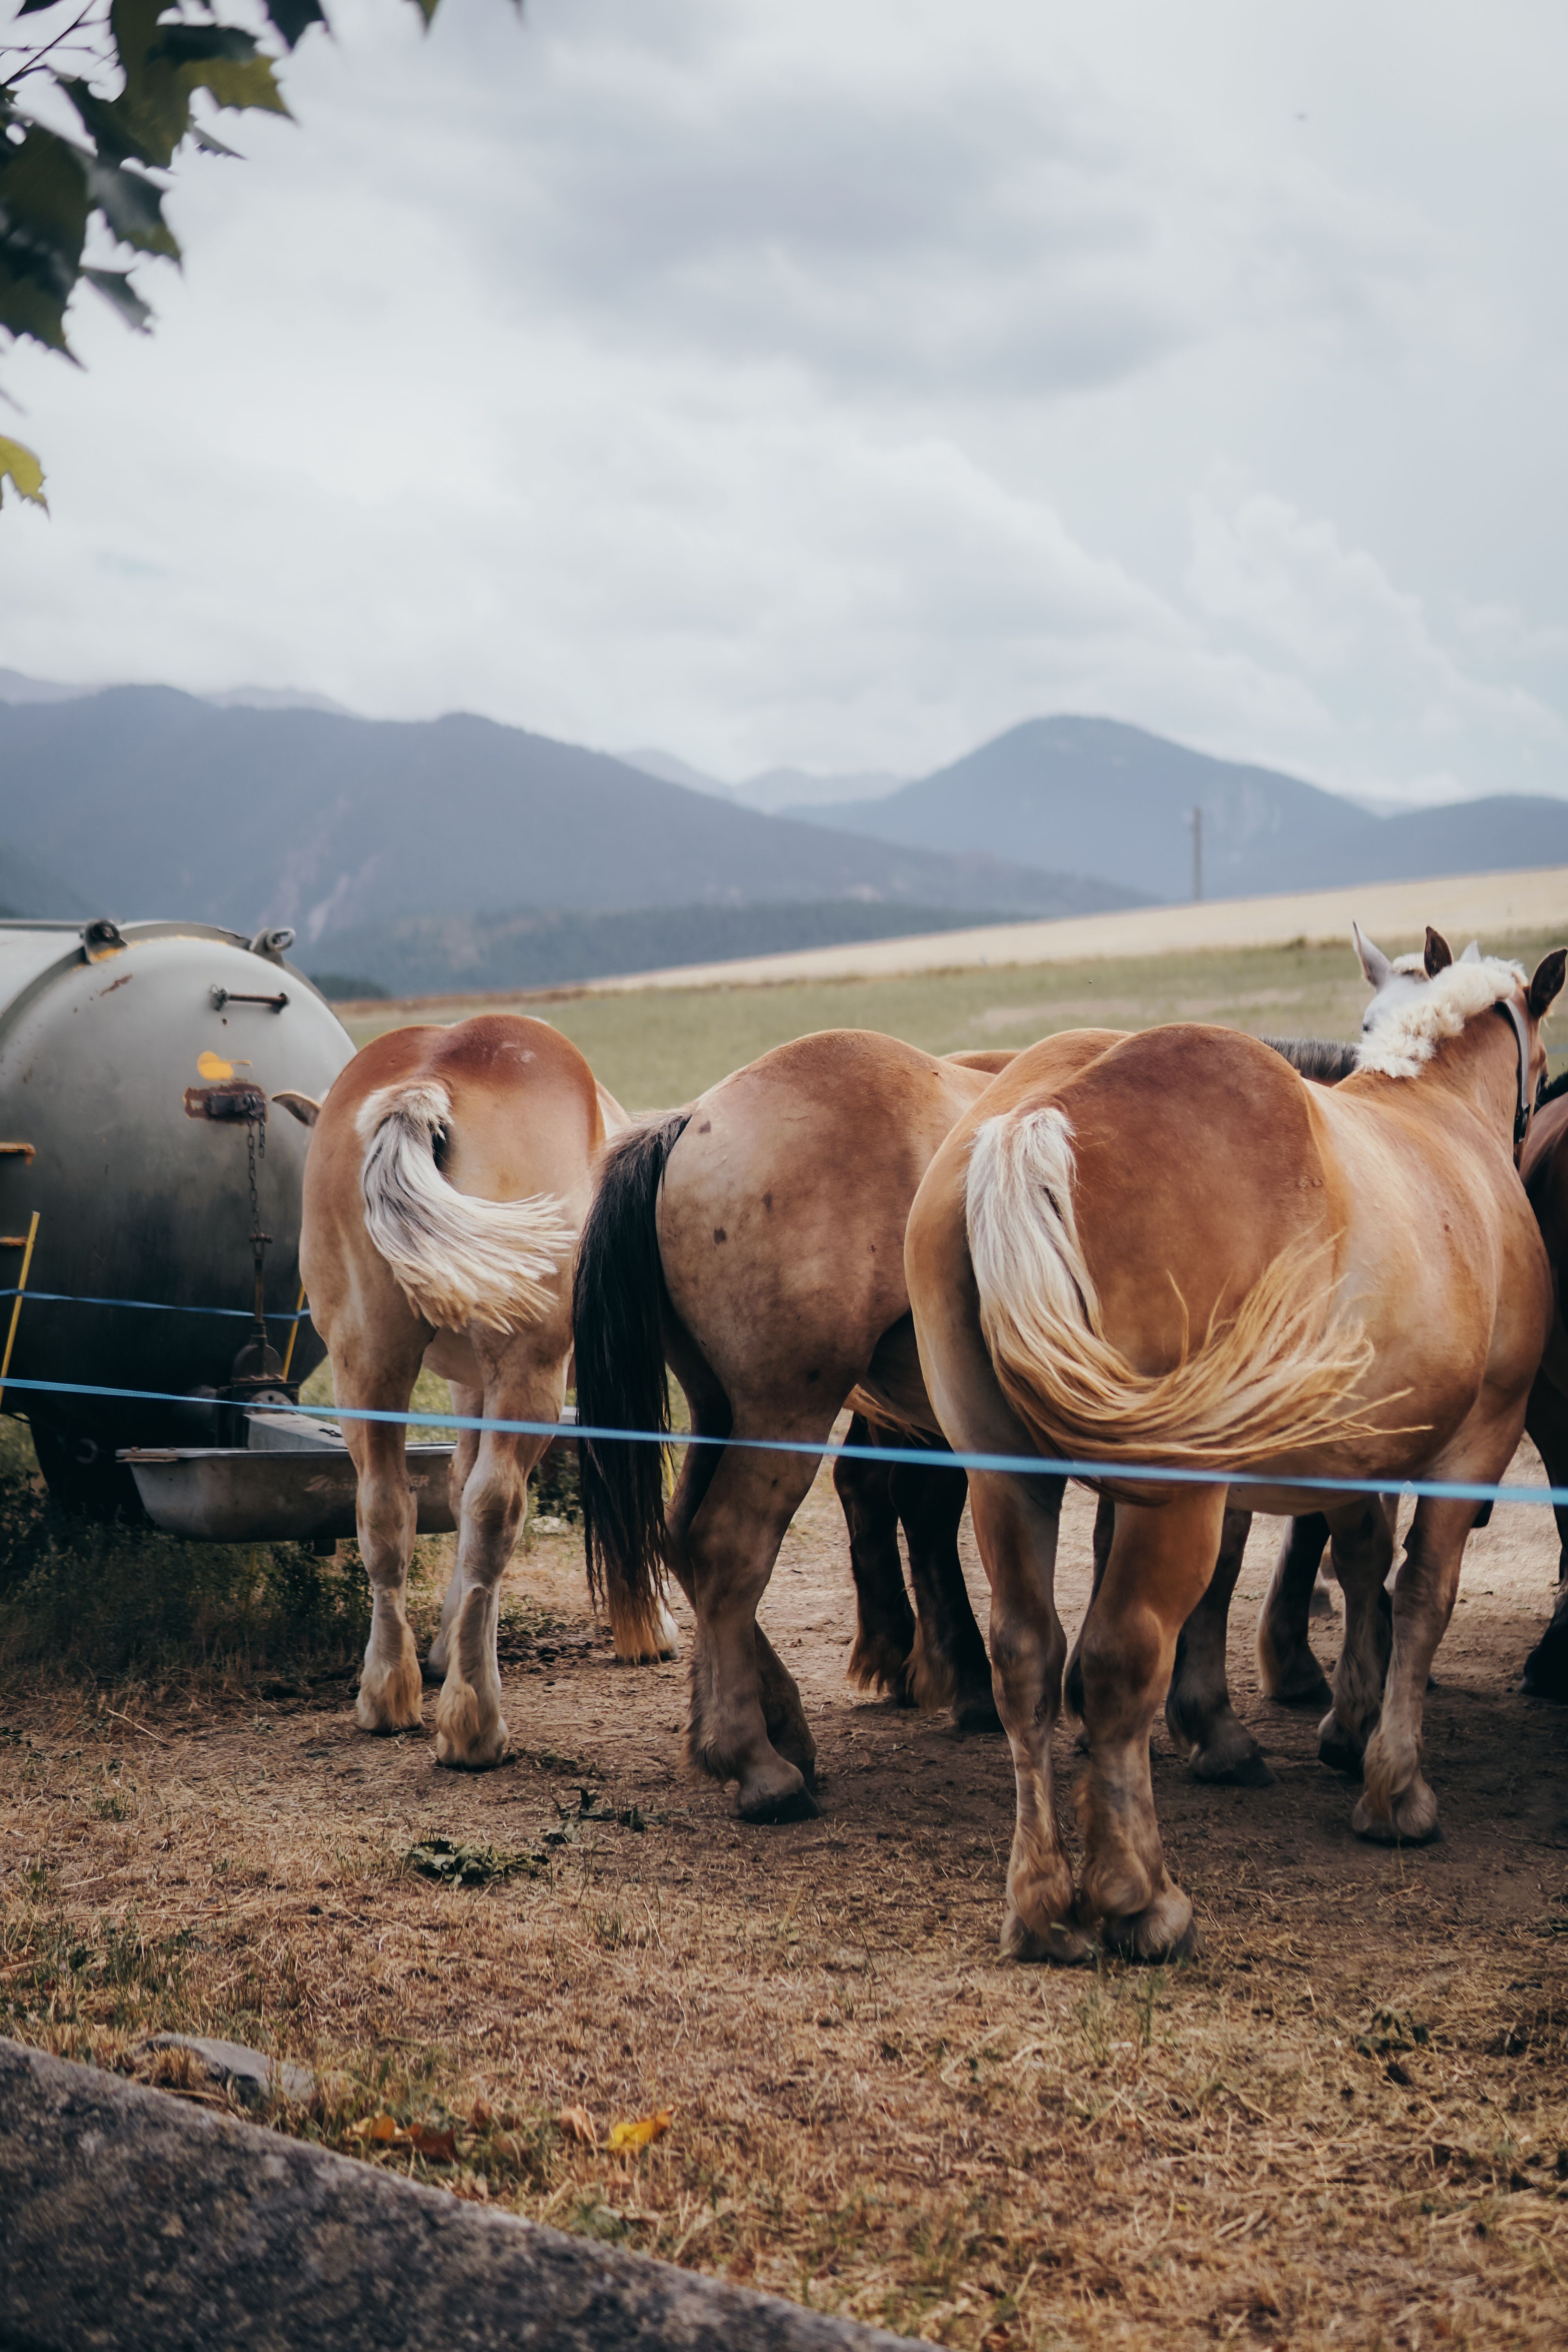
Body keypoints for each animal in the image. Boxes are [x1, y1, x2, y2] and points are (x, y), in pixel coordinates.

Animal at [285, 1012, 662, 1770]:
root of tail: (431, 1082)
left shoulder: (465, 1387)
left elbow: (454, 1488)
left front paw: (447, 1642)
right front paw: (650, 1625)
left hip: (367, 1365)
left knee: (385, 1512)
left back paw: (387, 1693)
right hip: (526, 1371)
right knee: (496, 1510)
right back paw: (473, 1722)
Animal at [905, 939, 1563, 1963]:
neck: (1439, 1118)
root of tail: (1034, 1120)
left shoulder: (1343, 1453)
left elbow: (1357, 1564)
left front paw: (1343, 1723)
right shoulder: (1474, 1443)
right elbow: (1419, 1594)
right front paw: (1393, 1787)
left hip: (1009, 1485)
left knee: (1025, 1659)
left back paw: (1040, 1904)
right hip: (1172, 1492)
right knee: (1120, 1658)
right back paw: (1141, 1899)